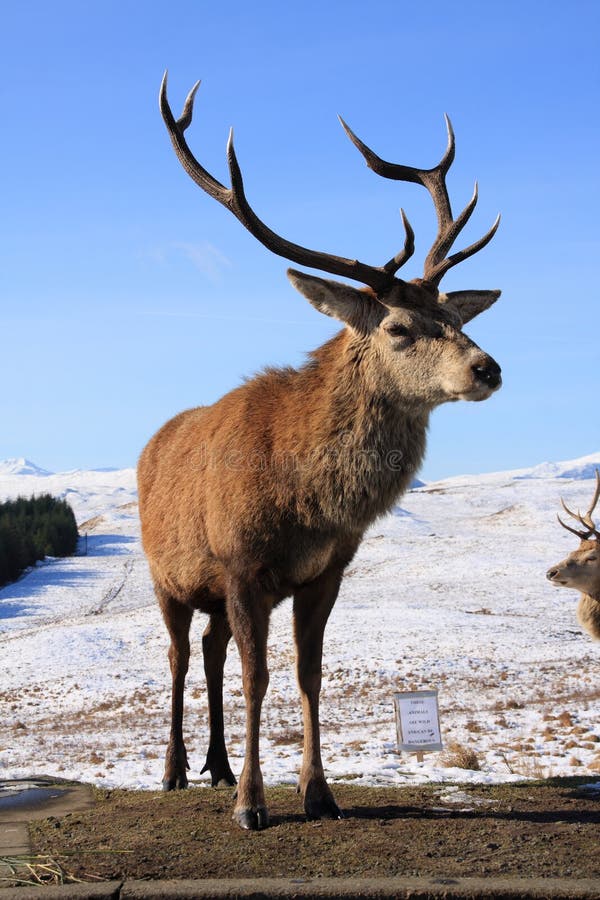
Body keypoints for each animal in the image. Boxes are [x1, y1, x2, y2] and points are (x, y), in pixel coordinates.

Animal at [137, 71, 503, 830]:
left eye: (453, 317)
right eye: (398, 327)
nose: (487, 368)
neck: (307, 501)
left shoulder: (326, 573)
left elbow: (309, 675)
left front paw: (318, 792)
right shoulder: (241, 564)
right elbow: (259, 676)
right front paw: (252, 806)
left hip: (212, 595)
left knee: (210, 653)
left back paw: (217, 767)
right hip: (169, 577)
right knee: (181, 658)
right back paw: (177, 771)